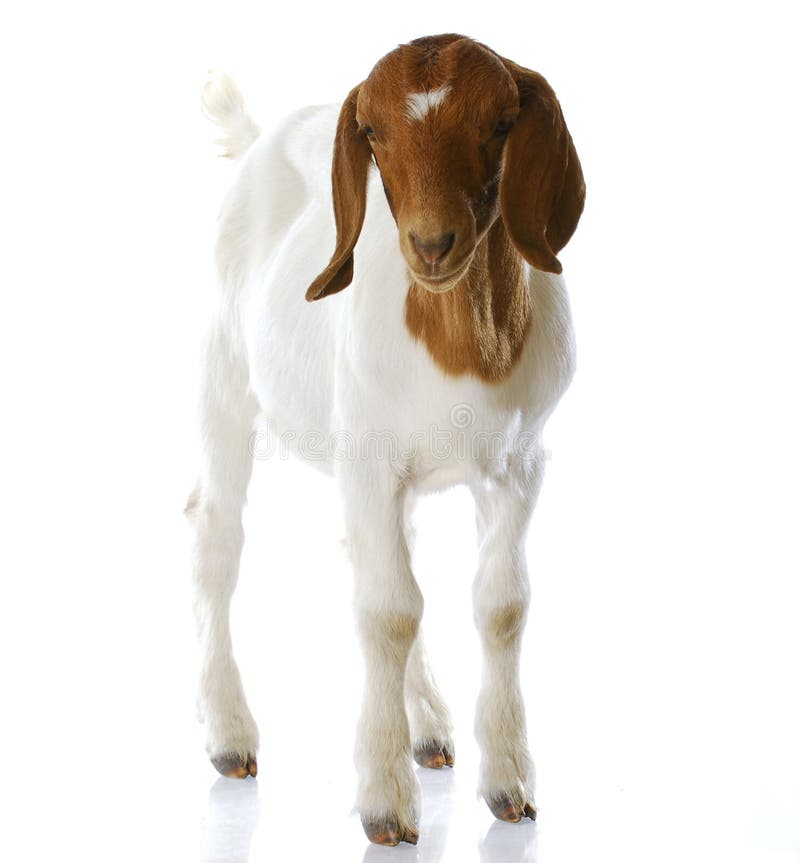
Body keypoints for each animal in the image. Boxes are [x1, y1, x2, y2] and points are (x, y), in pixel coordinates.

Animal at [187, 33, 585, 847]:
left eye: (501, 122)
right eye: (374, 132)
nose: (432, 246)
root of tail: (259, 136)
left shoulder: (517, 465)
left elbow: (500, 604)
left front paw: (510, 785)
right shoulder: (368, 463)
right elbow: (388, 611)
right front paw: (385, 802)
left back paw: (428, 726)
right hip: (224, 384)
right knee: (218, 542)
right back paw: (231, 736)